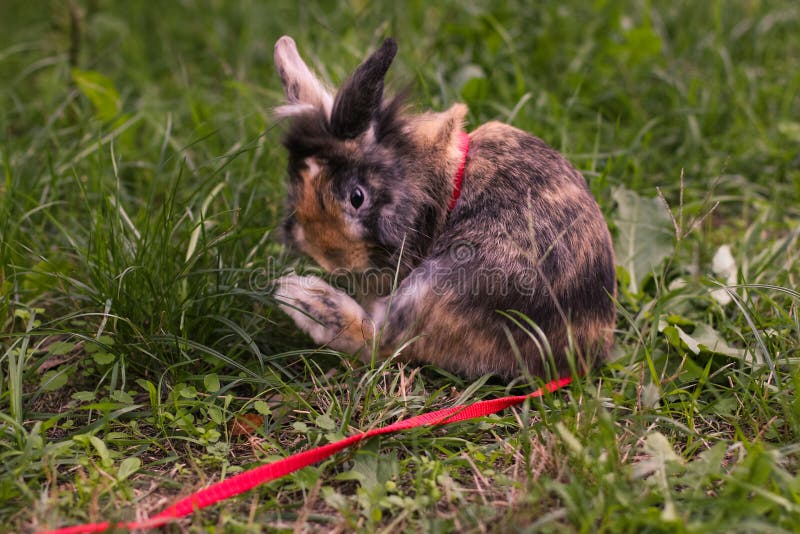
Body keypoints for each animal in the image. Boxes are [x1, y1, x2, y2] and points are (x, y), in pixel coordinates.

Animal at [271, 35, 616, 381]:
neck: (429, 179)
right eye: (294, 187)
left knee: (384, 344)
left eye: (357, 197)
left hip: (443, 282)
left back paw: (300, 296)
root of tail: (576, 357)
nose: (327, 257)